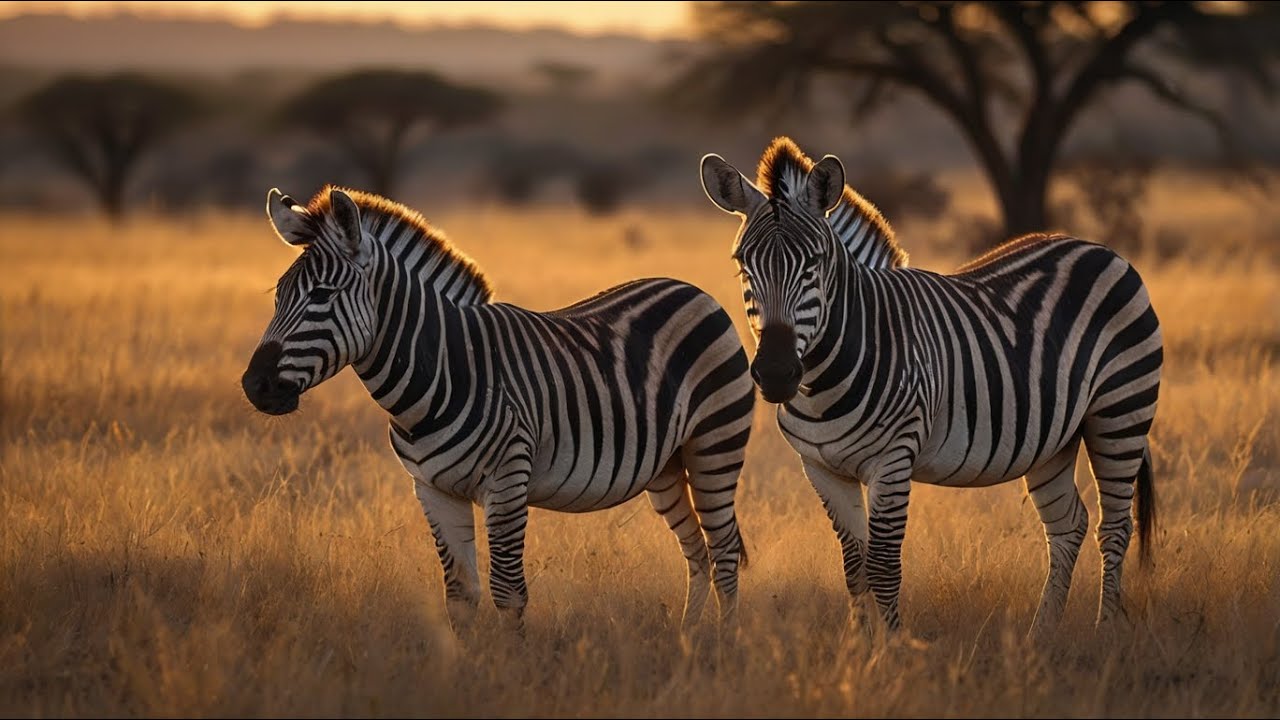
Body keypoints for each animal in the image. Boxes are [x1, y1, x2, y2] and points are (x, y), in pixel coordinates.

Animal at [241, 186, 754, 632]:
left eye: (321, 295)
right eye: (278, 295)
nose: (253, 385)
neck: (441, 369)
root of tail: (690, 288)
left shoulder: (507, 479)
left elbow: (508, 592)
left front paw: (511, 669)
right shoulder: (432, 490)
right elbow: (460, 595)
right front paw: (469, 672)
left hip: (714, 444)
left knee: (725, 551)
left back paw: (722, 646)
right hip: (666, 465)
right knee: (697, 551)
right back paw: (688, 639)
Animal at [699, 137, 1162, 637]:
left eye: (814, 265)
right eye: (743, 264)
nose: (777, 373)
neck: (822, 386)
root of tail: (1100, 249)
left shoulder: (893, 459)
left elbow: (883, 565)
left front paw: (893, 646)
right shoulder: (821, 468)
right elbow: (854, 565)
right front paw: (859, 644)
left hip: (1119, 412)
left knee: (1114, 528)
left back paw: (1104, 628)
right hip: (1053, 440)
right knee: (1068, 525)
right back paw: (1043, 633)